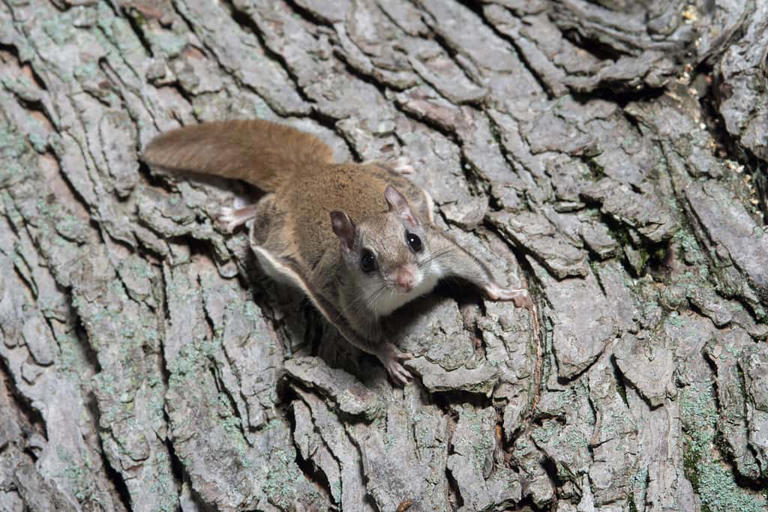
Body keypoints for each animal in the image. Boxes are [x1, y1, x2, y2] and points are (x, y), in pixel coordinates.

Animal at [143, 119, 532, 385]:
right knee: (263, 208)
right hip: (274, 226)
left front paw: (505, 291)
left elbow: (475, 267)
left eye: (414, 241)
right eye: (366, 261)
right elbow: (360, 335)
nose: (407, 280)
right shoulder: (343, 298)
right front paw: (389, 355)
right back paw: (239, 214)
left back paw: (391, 162)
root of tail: (306, 174)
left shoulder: (442, 248)